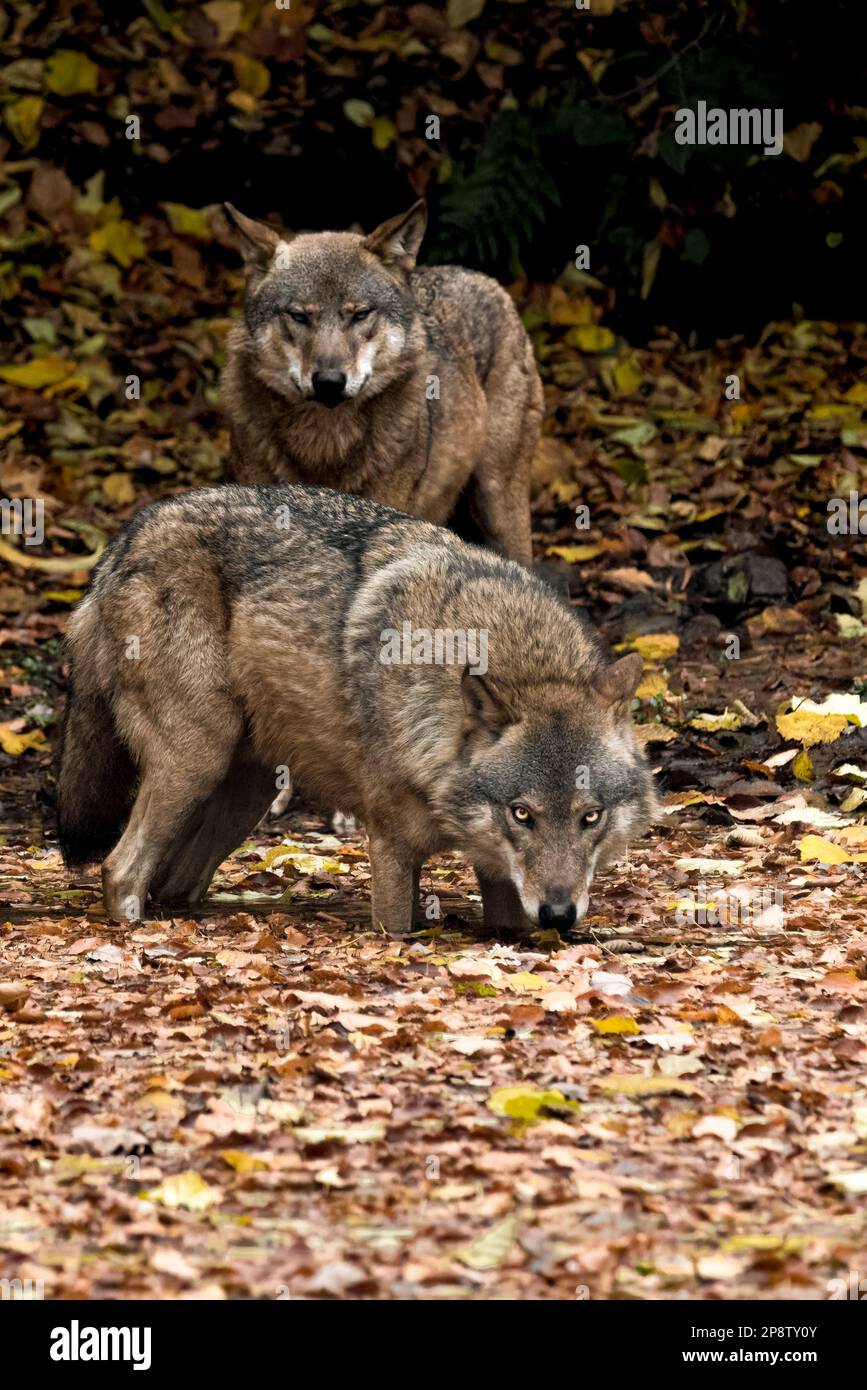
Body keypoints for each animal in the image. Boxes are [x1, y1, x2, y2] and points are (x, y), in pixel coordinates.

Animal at [57, 486, 654, 933]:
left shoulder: (499, 878)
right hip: (198, 760)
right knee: (118, 870)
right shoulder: (389, 846)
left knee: (174, 884)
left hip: (248, 791)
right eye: (522, 813)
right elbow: (397, 928)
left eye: (591, 816)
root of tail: (123, 542)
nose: (558, 914)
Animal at [221, 201, 543, 567]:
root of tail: (484, 278)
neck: (325, 447)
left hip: (497, 500)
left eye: (360, 314)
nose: (329, 382)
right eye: (299, 316)